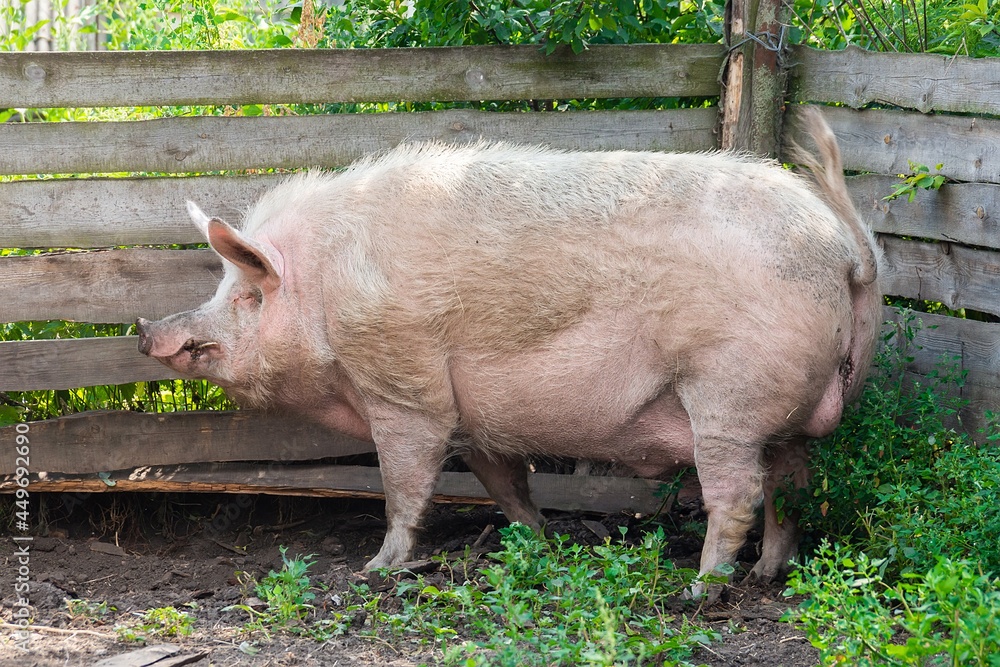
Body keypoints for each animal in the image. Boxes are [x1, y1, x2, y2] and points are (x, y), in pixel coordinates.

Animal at [136, 107, 881, 600]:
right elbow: (502, 481)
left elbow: (405, 482)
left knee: (738, 492)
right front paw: (540, 539)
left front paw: (378, 568)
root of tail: (847, 247)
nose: (146, 330)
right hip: (784, 410)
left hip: (728, 393)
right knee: (792, 484)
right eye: (221, 287)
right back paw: (768, 573)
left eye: (245, 296)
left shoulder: (405, 385)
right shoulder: (473, 416)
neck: (324, 289)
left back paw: (700, 591)